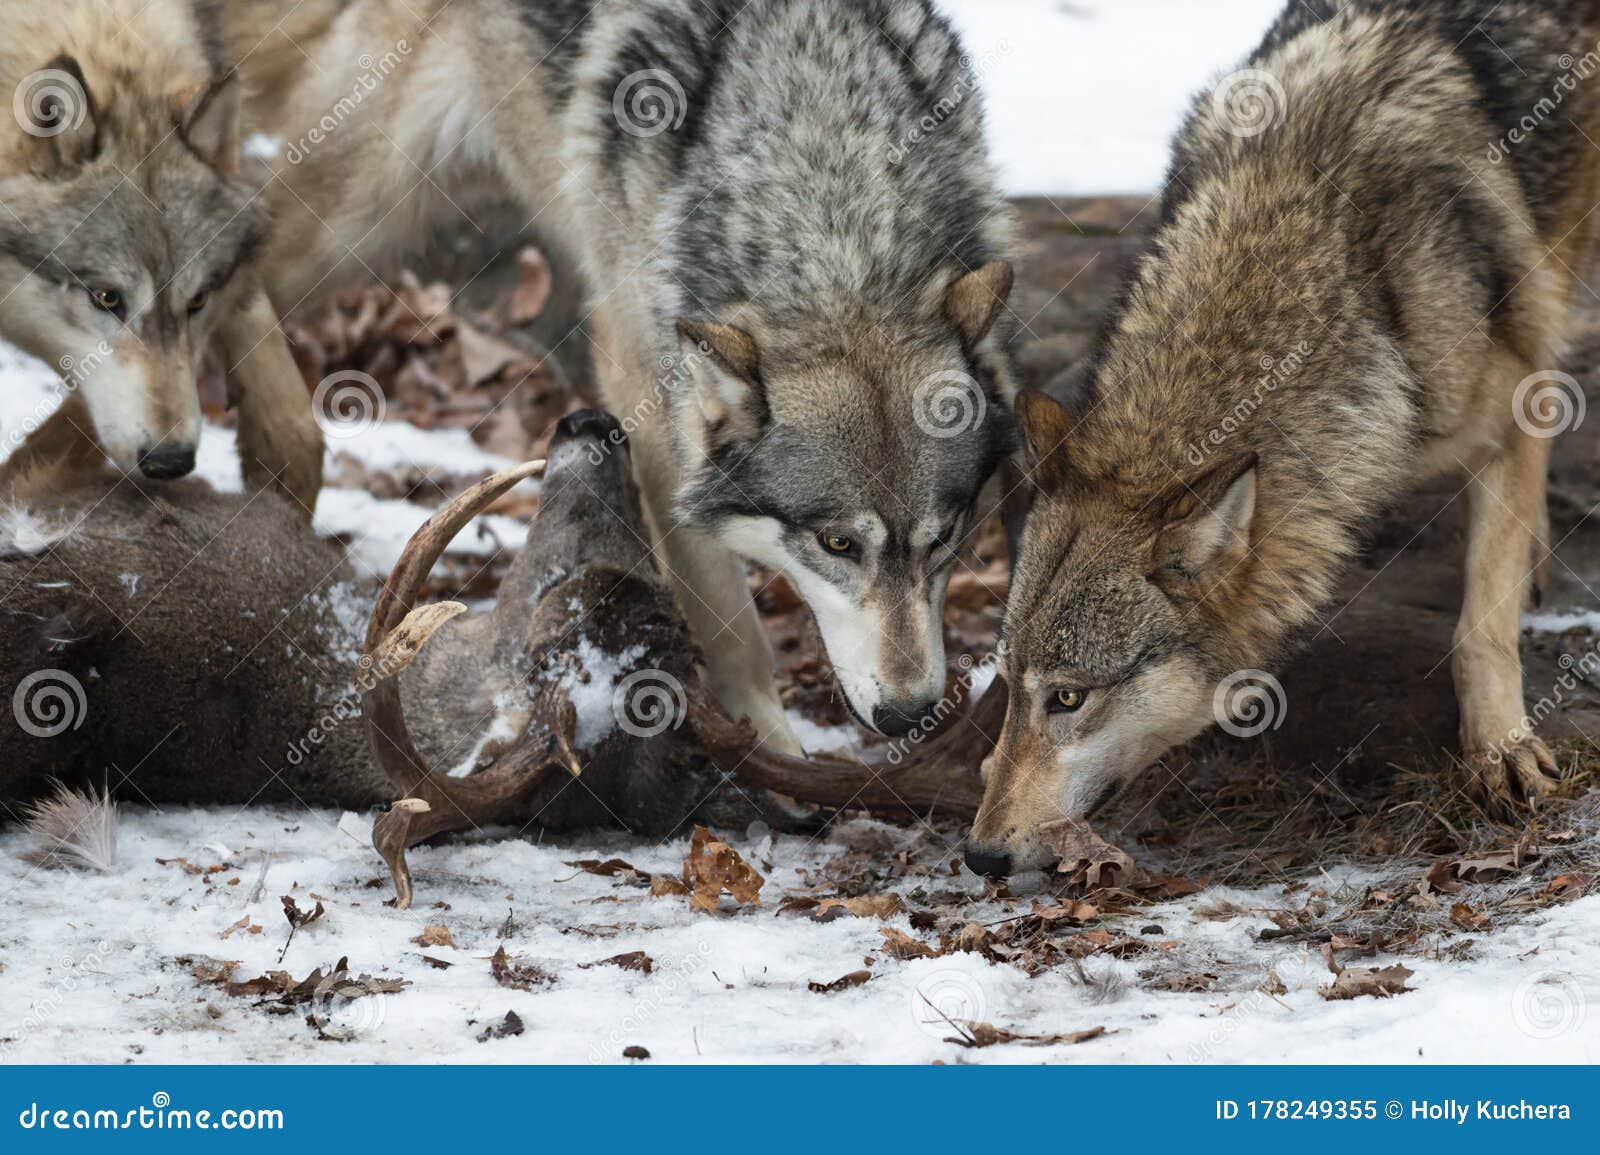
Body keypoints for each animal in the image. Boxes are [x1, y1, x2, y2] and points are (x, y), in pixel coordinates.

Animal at [171, 0, 1016, 751]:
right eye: (838, 544)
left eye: (944, 539)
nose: (910, 714)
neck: (834, 211)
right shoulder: (644, 396)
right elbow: (731, 622)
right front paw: (772, 755)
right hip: (358, 216)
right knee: (231, 258)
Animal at [966, 0, 1600, 875]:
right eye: (1007, 683)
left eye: (1068, 697)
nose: (977, 854)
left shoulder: (1516, 402)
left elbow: (1481, 624)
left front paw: (1499, 748)